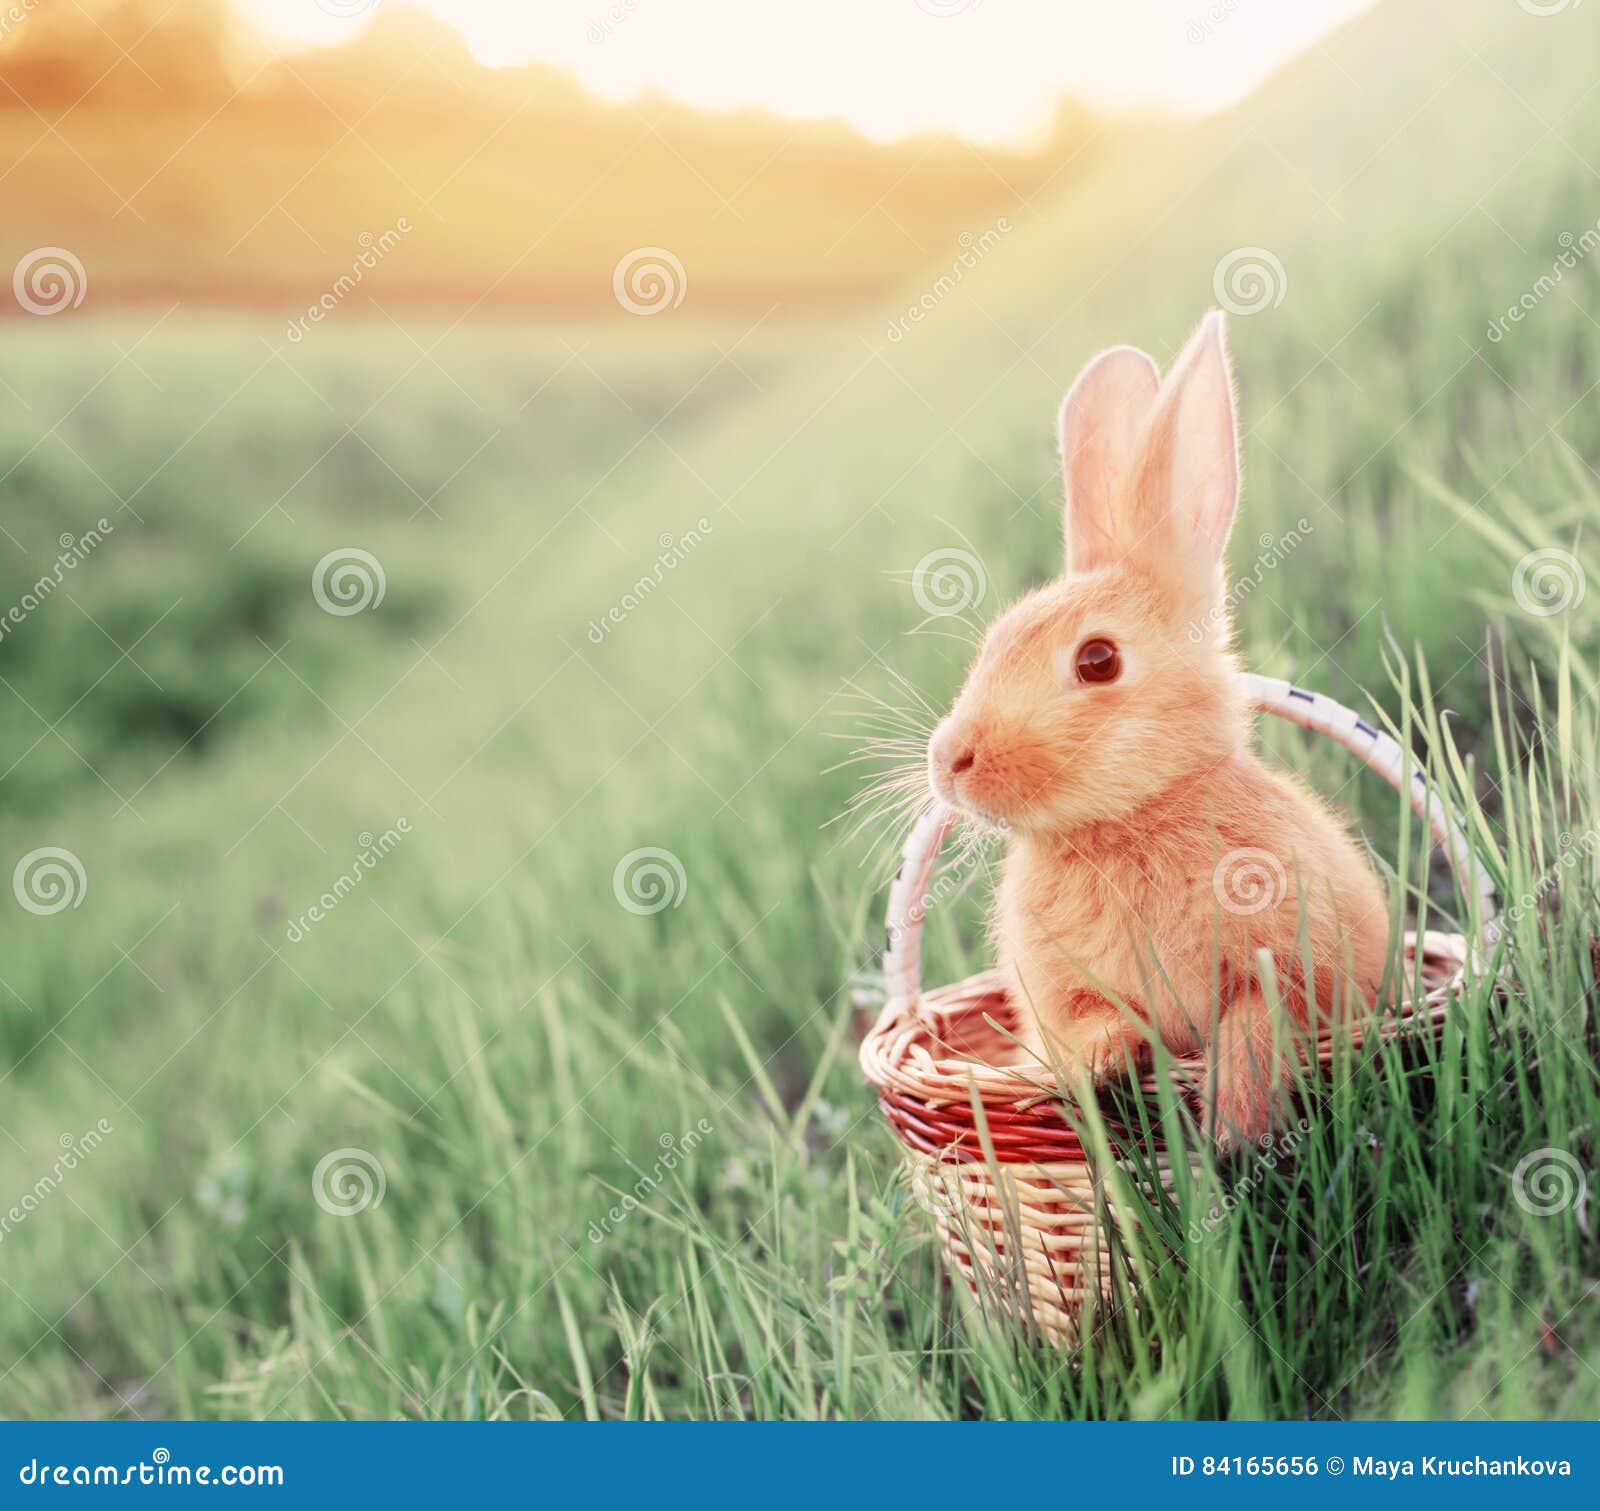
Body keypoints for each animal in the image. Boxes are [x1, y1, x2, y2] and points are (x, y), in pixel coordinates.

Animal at [925, 311, 1389, 1149]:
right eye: (997, 638)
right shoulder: (1060, 997)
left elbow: (1259, 1016)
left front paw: (1235, 1123)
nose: (949, 760)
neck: (1127, 821)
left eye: (1098, 659)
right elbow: (1091, 1020)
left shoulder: (1302, 963)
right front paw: (1106, 1062)